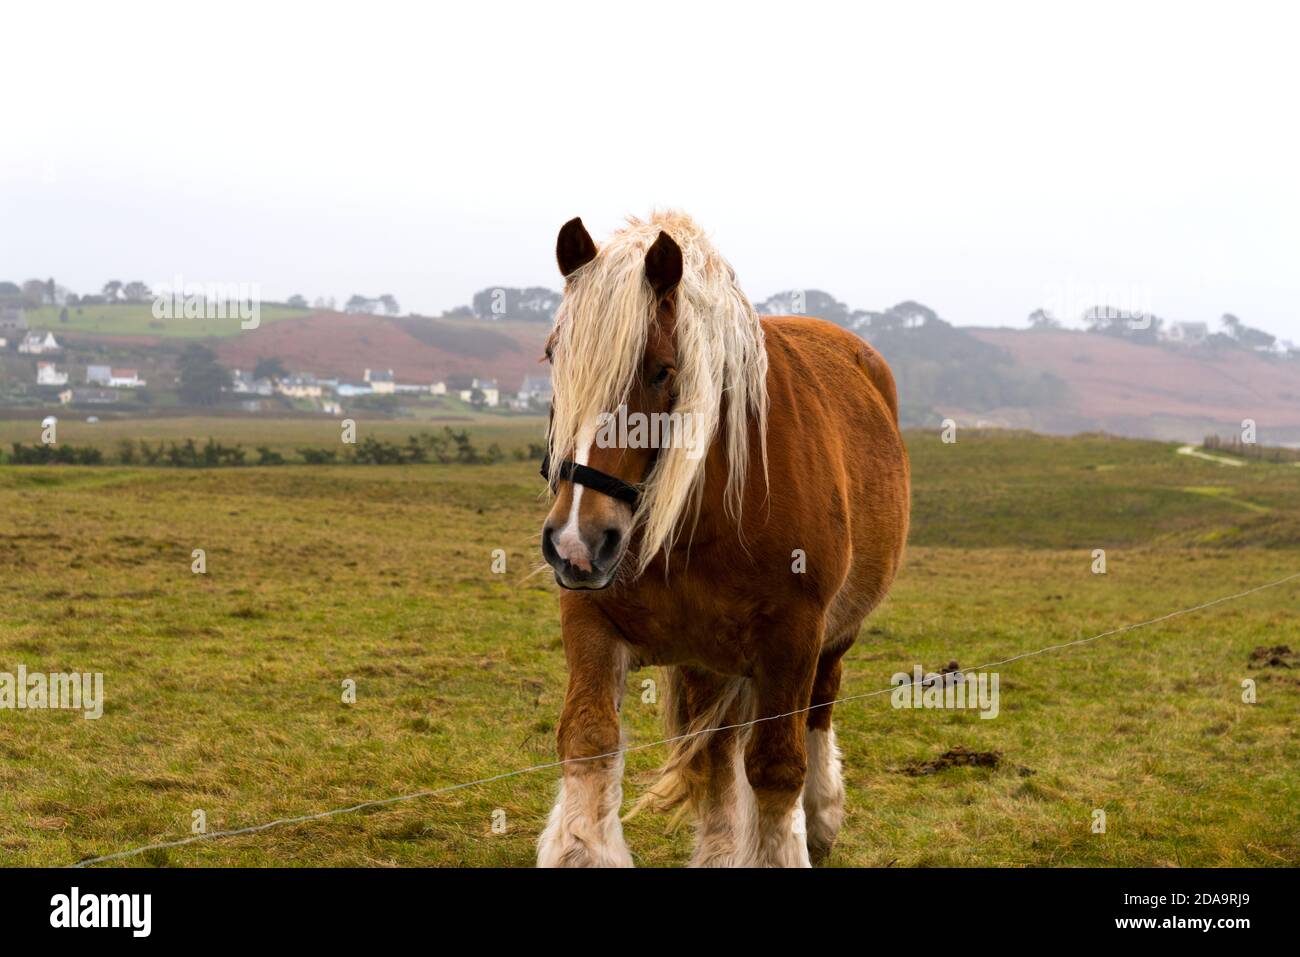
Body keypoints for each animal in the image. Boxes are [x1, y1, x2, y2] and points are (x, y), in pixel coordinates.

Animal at [536, 211, 910, 867]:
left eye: (662, 370)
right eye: (555, 356)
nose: (578, 541)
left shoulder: (792, 638)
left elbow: (775, 768)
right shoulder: (590, 620)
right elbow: (589, 741)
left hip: (833, 636)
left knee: (819, 708)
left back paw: (821, 815)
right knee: (716, 754)